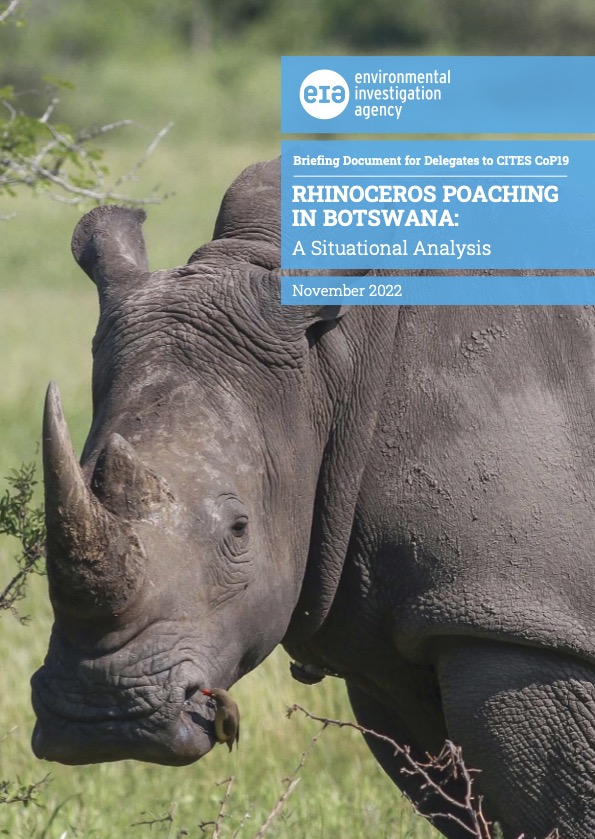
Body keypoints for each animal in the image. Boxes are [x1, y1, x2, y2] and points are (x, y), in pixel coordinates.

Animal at [31, 158, 595, 839]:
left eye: (239, 529)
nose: (99, 717)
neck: (332, 367)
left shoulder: (520, 618)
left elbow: (562, 807)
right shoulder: (389, 643)